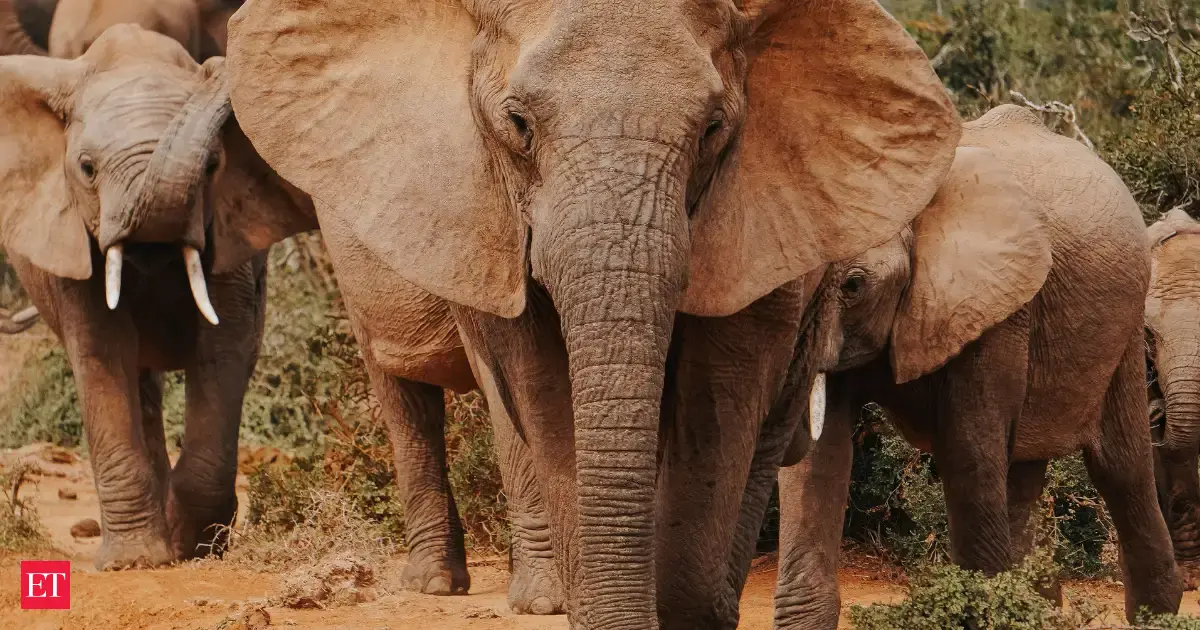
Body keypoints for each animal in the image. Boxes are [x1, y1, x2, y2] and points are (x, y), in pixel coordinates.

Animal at [0, 25, 315, 569]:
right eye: (86, 168)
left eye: (213, 164)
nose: (218, 68)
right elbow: (101, 354)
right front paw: (134, 562)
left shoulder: (227, 230)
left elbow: (224, 347)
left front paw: (195, 549)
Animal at [225, 0, 961, 627]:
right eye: (518, 126)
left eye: (713, 129)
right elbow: (538, 393)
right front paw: (563, 602)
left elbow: (723, 389)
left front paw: (685, 607)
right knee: (404, 394)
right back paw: (436, 583)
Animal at [773, 105, 1183, 628]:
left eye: (854, 285)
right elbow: (818, 459)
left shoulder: (998, 307)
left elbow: (967, 451)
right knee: (1023, 475)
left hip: (1125, 327)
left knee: (1121, 469)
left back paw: (1157, 616)